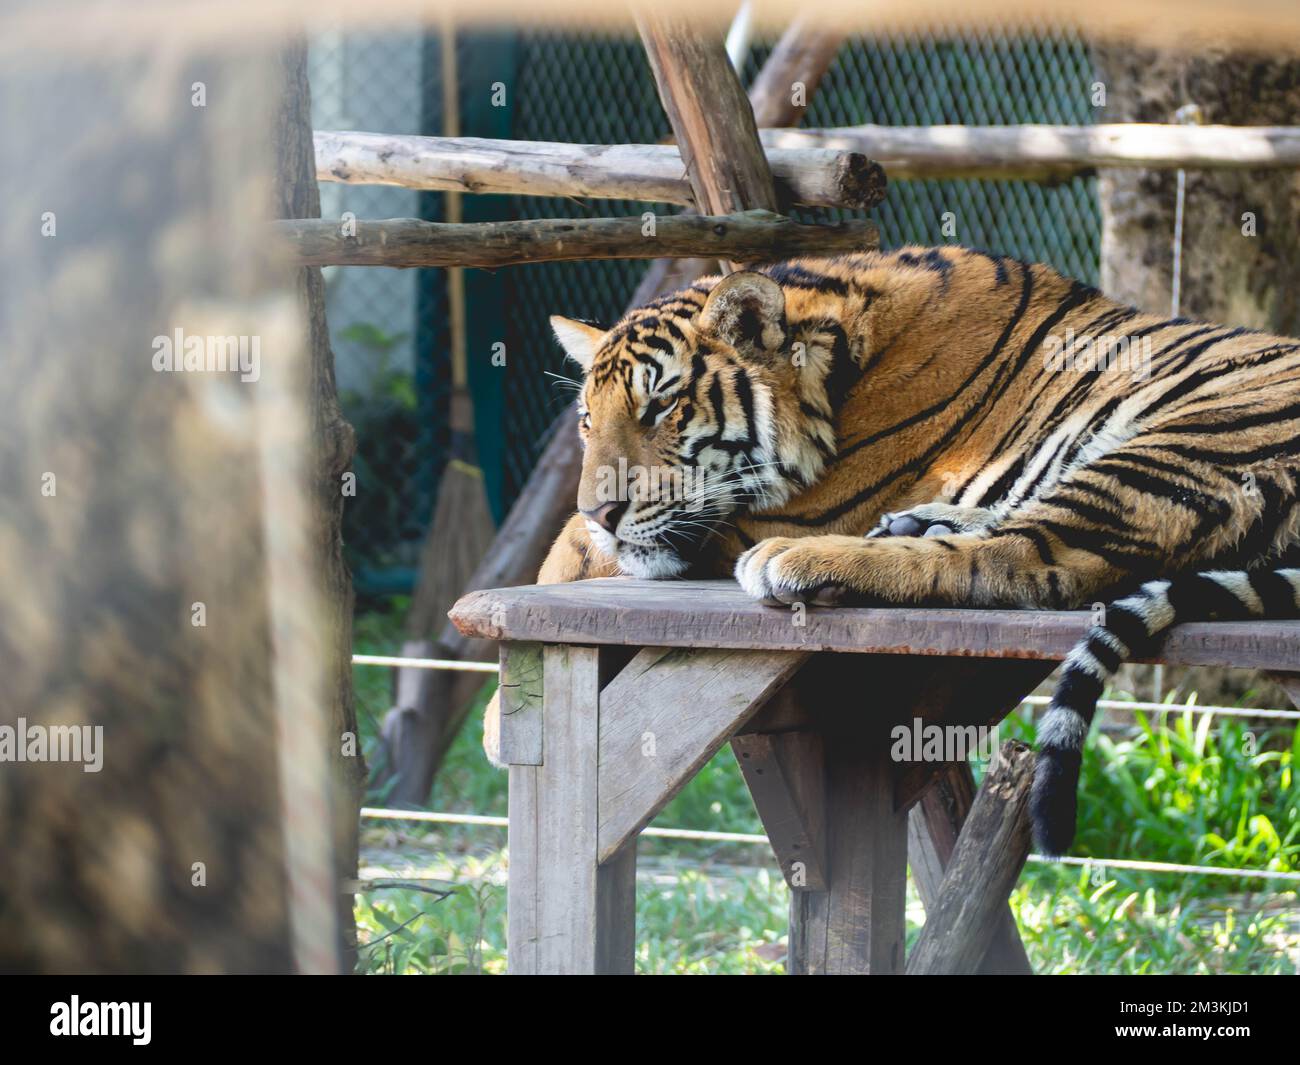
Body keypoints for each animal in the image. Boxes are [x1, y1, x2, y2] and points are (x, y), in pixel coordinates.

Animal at [510, 246, 1300, 856]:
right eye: (588, 420)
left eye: (663, 406)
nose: (603, 510)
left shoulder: (793, 508)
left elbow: (569, 547)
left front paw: (503, 719)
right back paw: (916, 522)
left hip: (1188, 432)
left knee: (1020, 561)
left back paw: (809, 562)